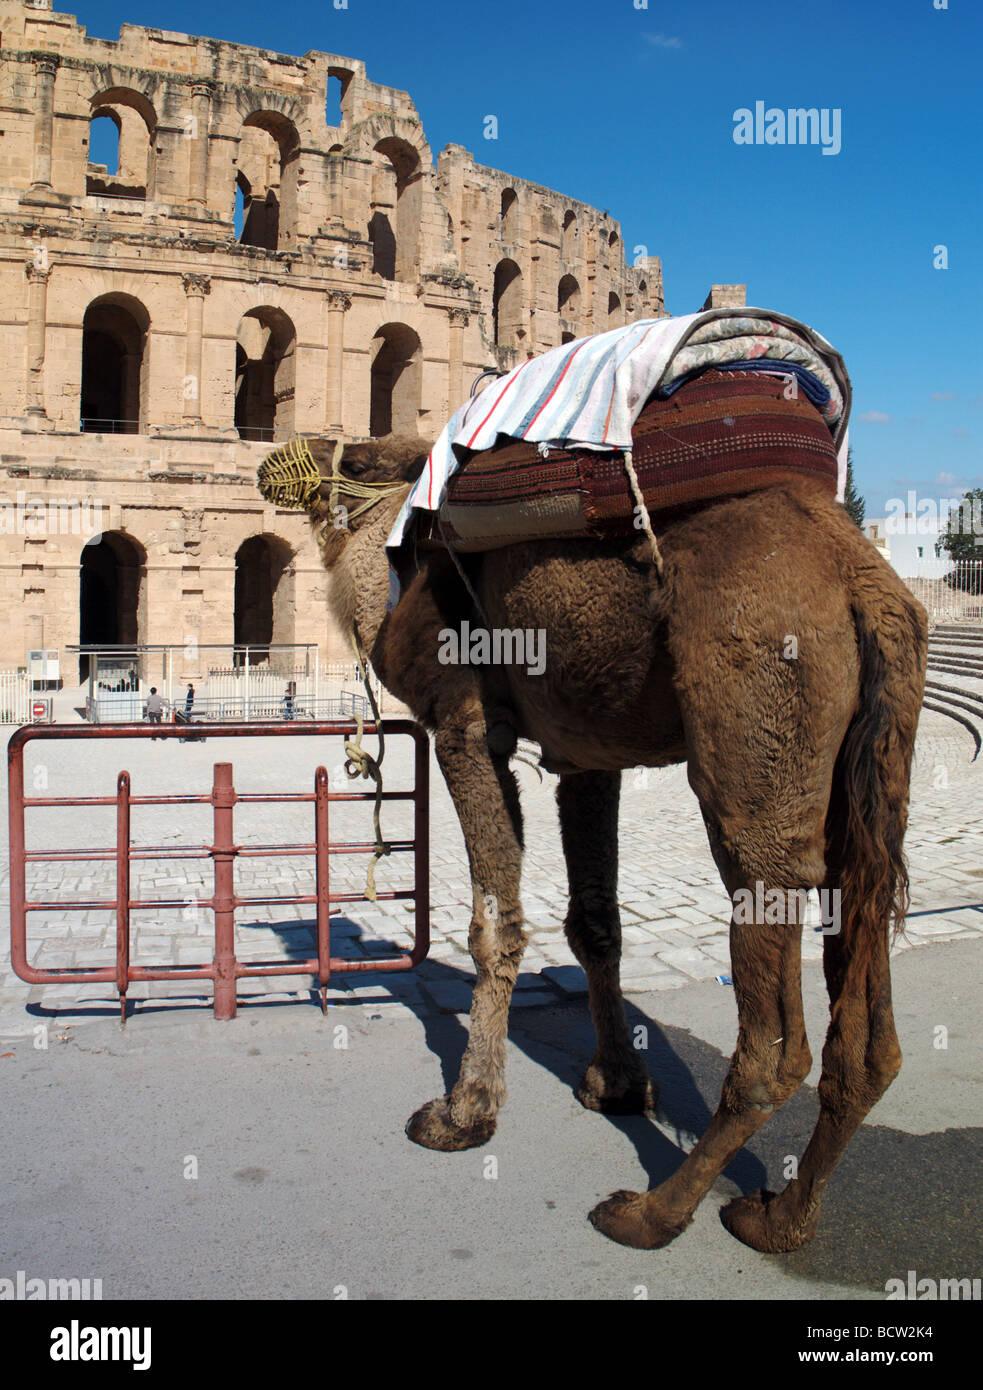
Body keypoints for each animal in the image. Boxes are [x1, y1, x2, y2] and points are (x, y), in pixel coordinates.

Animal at [258, 429, 927, 1253]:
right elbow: (594, 924)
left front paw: (464, 1111)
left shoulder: (464, 722)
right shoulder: (585, 752)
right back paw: (777, 1220)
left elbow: (494, 923)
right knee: (867, 1014)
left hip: (756, 744)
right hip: (871, 780)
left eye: (348, 458)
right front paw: (616, 1083)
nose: (268, 463)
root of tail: (865, 582)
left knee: (776, 1028)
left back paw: (652, 1213)